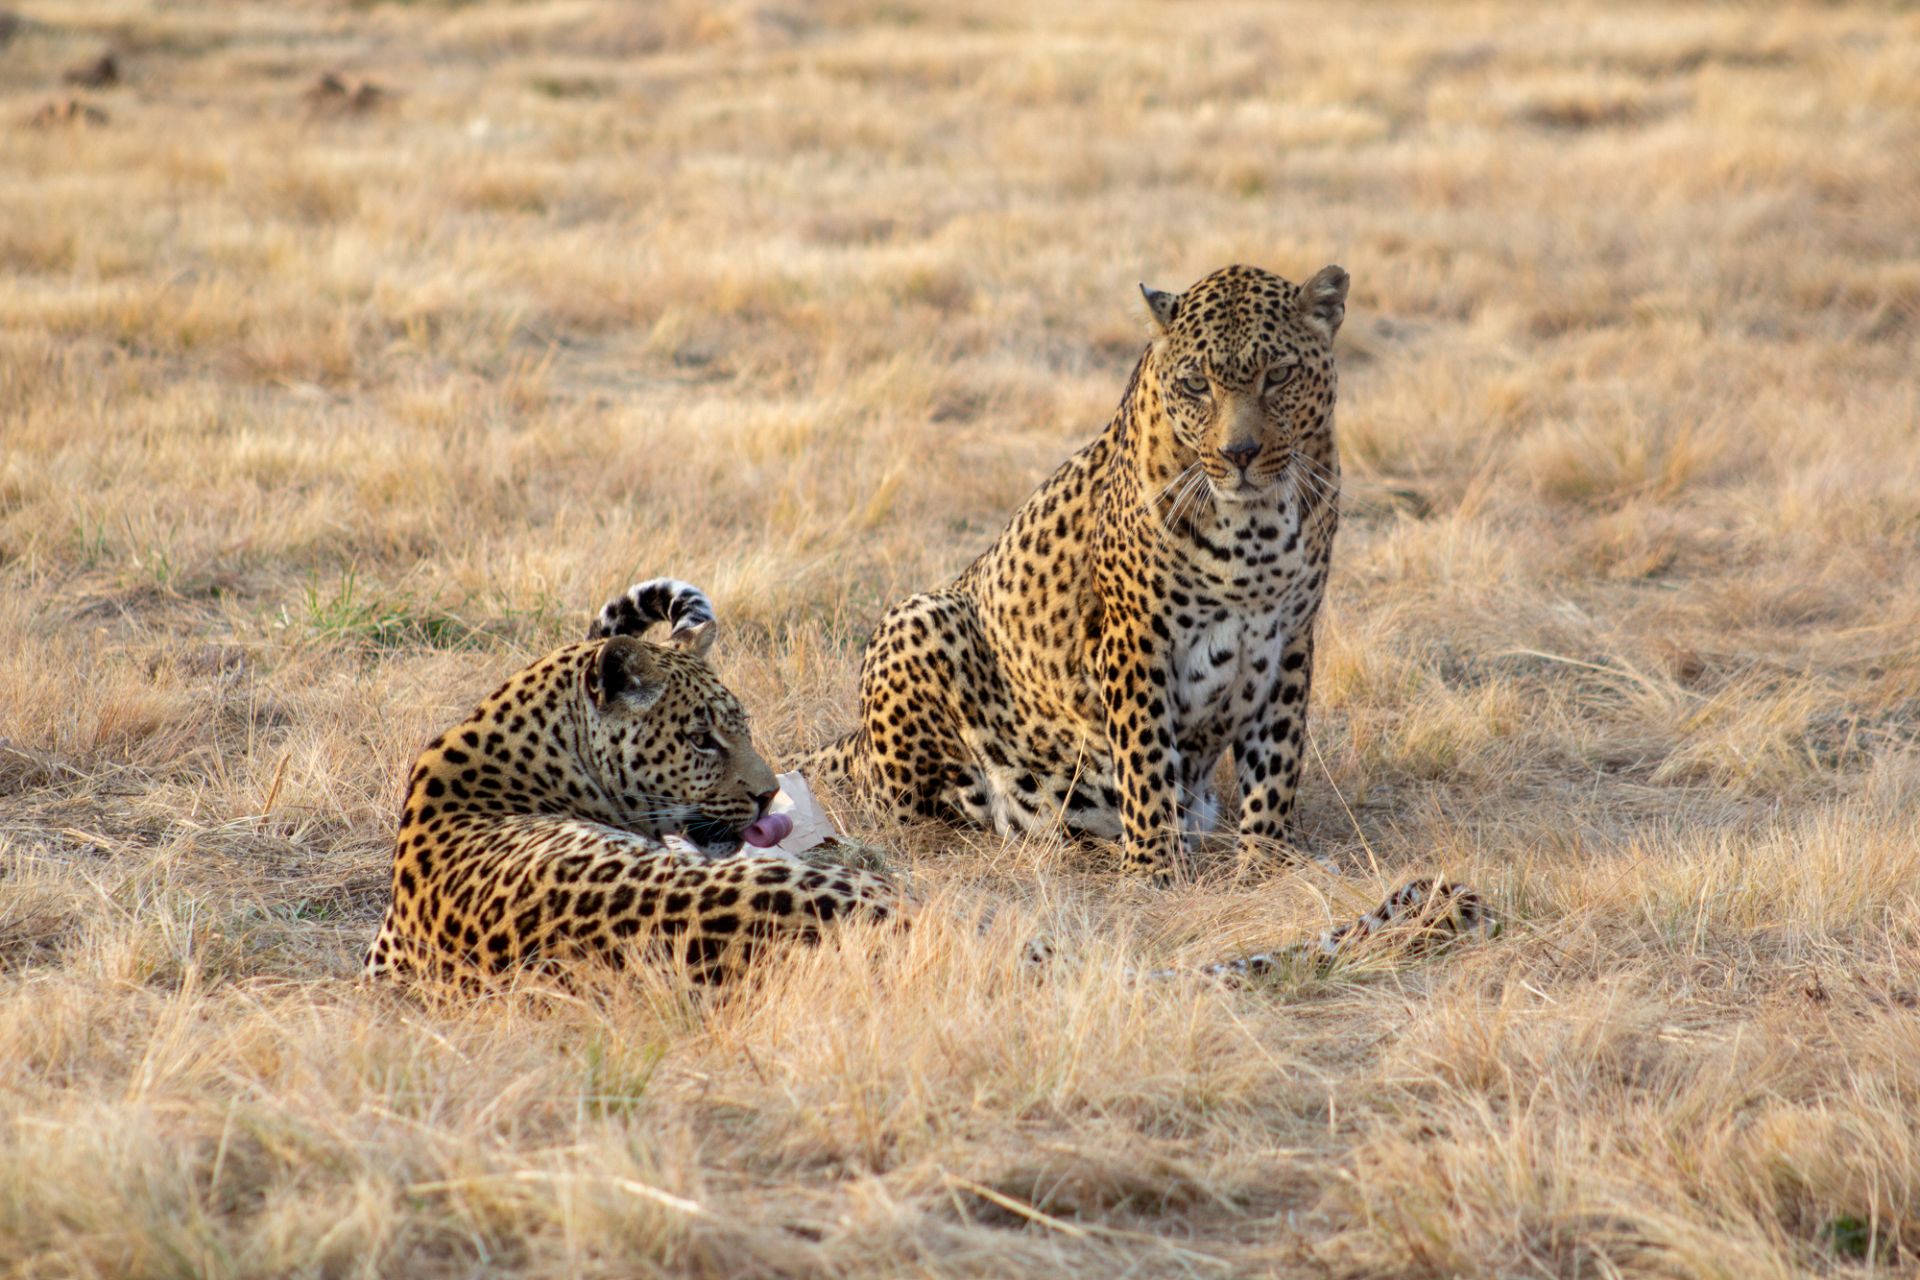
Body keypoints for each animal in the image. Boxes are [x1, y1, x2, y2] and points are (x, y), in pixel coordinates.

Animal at [789, 263, 1352, 876]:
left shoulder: (1291, 634)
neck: (1257, 530)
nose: (1240, 454)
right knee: (944, 811)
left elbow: (1276, 757)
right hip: (918, 621)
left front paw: (1270, 859)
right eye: (1196, 385)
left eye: (1279, 376)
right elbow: (1145, 754)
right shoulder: (1133, 634)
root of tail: (855, 743)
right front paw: (1152, 866)